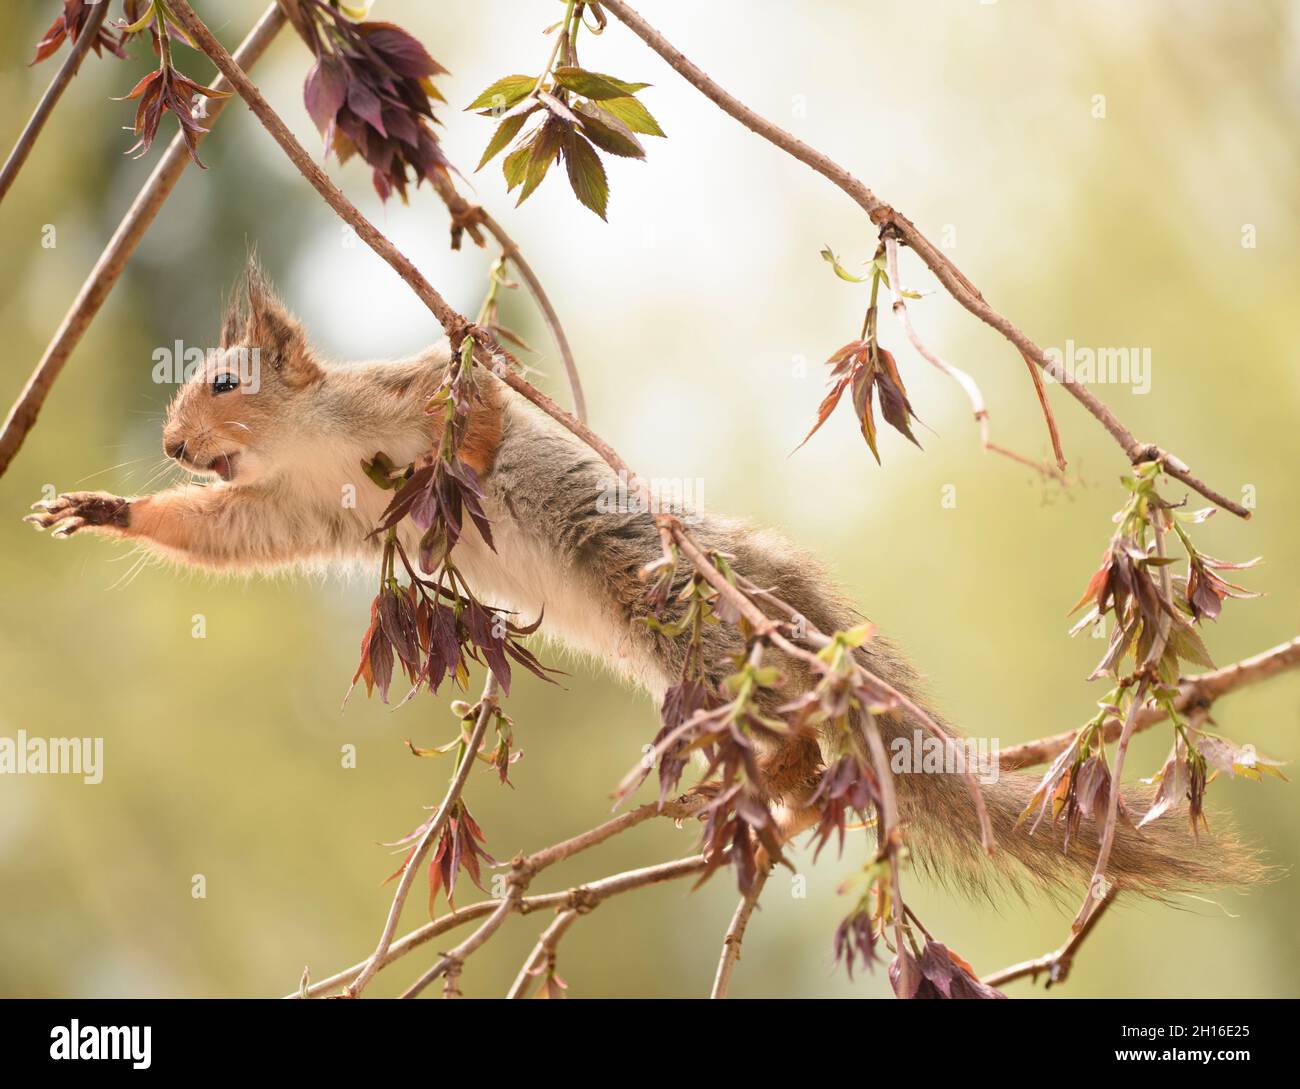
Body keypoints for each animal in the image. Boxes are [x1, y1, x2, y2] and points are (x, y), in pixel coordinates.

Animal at [27, 264, 1263, 900]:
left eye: (225, 381)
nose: (173, 444)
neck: (311, 445)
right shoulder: (288, 510)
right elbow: (221, 535)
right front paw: (104, 511)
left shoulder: (397, 396)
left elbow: (474, 402)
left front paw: (467, 466)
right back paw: (790, 783)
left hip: (675, 607)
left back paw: (787, 772)